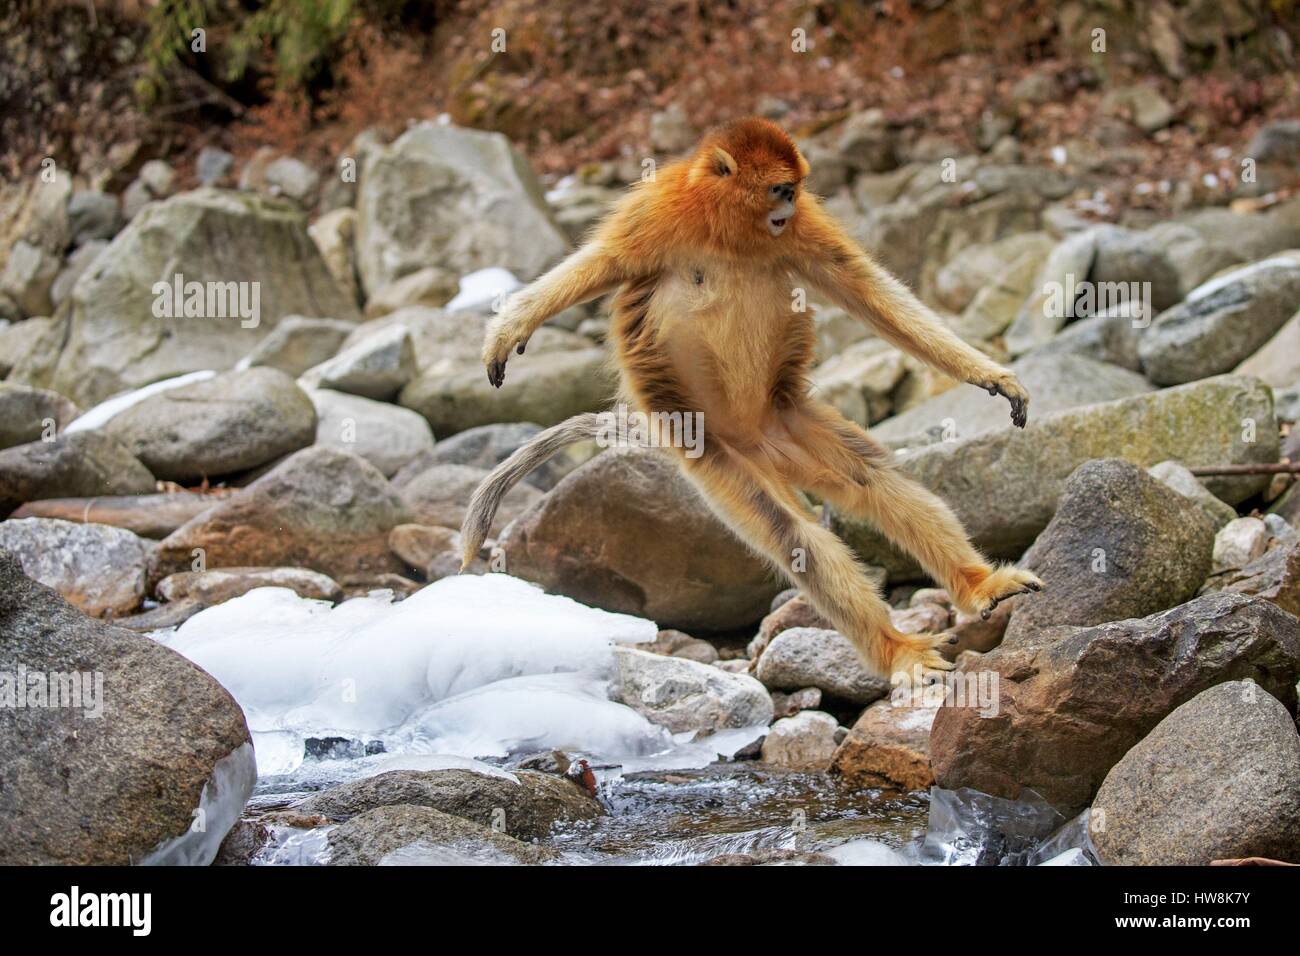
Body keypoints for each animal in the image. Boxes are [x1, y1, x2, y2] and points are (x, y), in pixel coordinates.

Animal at [461, 117, 1042, 684]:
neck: (725, 234)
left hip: (788, 422)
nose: (786, 208)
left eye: (794, 190)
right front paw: (508, 330)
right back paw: (897, 648)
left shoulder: (805, 228)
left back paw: (977, 586)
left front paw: (991, 375)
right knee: (795, 535)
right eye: (779, 189)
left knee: (873, 479)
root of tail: (757, 440)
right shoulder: (652, 214)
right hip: (715, 456)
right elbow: (598, 264)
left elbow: (869, 291)